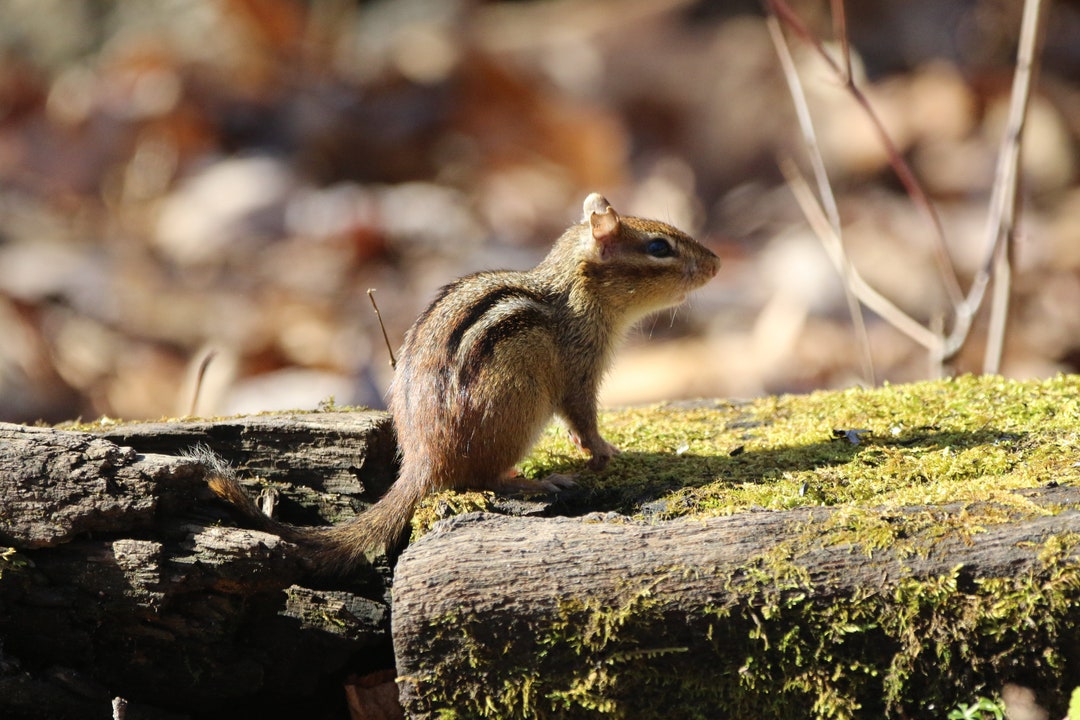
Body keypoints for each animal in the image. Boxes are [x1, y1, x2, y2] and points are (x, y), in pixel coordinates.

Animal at [203, 193, 720, 574]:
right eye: (659, 247)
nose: (716, 263)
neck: (573, 297)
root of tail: (423, 460)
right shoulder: (580, 369)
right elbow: (582, 417)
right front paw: (604, 451)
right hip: (518, 406)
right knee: (484, 478)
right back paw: (535, 481)